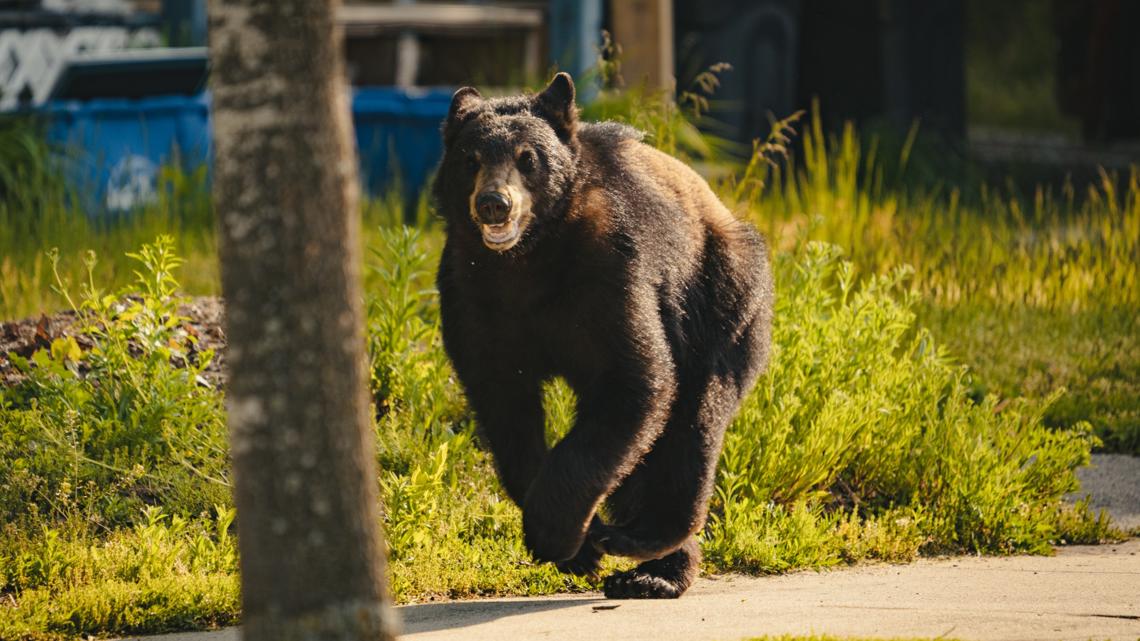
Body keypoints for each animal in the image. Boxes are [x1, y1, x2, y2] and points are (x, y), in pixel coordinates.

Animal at [433, 72, 774, 599]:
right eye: (470, 159)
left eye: (528, 158)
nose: (493, 204)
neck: (526, 262)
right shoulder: (472, 297)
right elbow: (504, 405)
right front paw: (580, 547)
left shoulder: (611, 271)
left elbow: (634, 378)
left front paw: (560, 533)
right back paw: (644, 563)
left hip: (722, 303)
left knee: (692, 426)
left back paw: (650, 550)